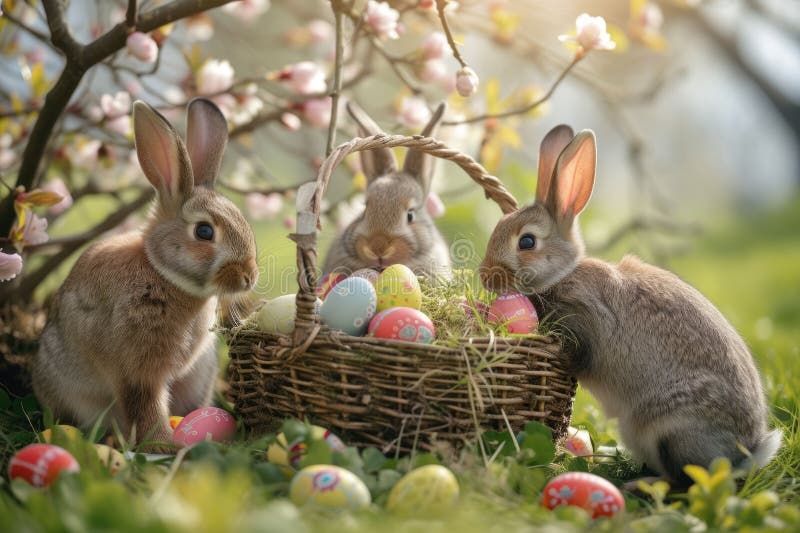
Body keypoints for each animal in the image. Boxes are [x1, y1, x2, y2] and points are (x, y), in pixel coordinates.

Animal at [31, 99, 258, 451]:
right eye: (204, 231)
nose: (250, 276)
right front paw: (163, 445)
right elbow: (145, 405)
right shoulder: (137, 371)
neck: (162, 273)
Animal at [479, 125, 781, 486]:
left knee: (684, 480)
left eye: (527, 242)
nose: (485, 276)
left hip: (672, 429)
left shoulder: (585, 318)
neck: (563, 274)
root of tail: (745, 454)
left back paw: (641, 483)